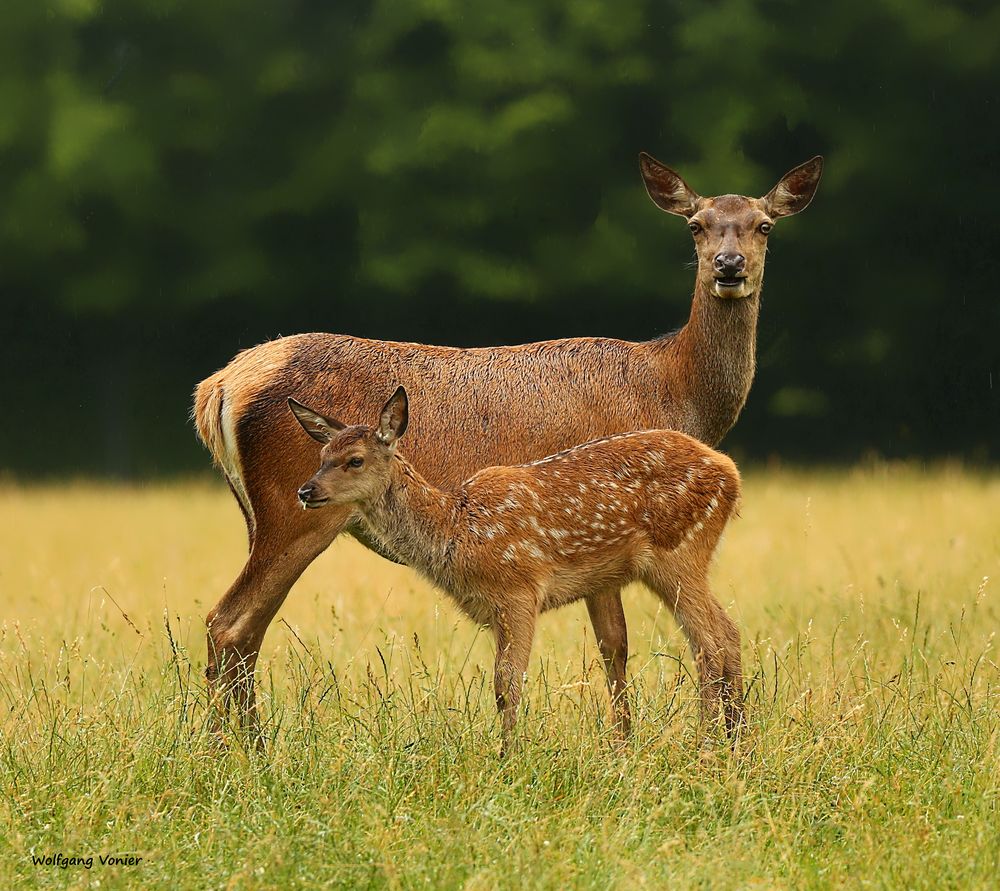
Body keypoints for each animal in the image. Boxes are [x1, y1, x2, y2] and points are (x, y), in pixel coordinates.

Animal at [290, 386, 744, 748]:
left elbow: (507, 682)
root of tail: (731, 472)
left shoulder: (519, 590)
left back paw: (705, 743)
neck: (457, 530)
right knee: (727, 631)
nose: (306, 491)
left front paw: (508, 758)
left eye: (354, 460)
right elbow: (502, 685)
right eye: (322, 455)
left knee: (709, 642)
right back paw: (736, 739)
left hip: (680, 551)